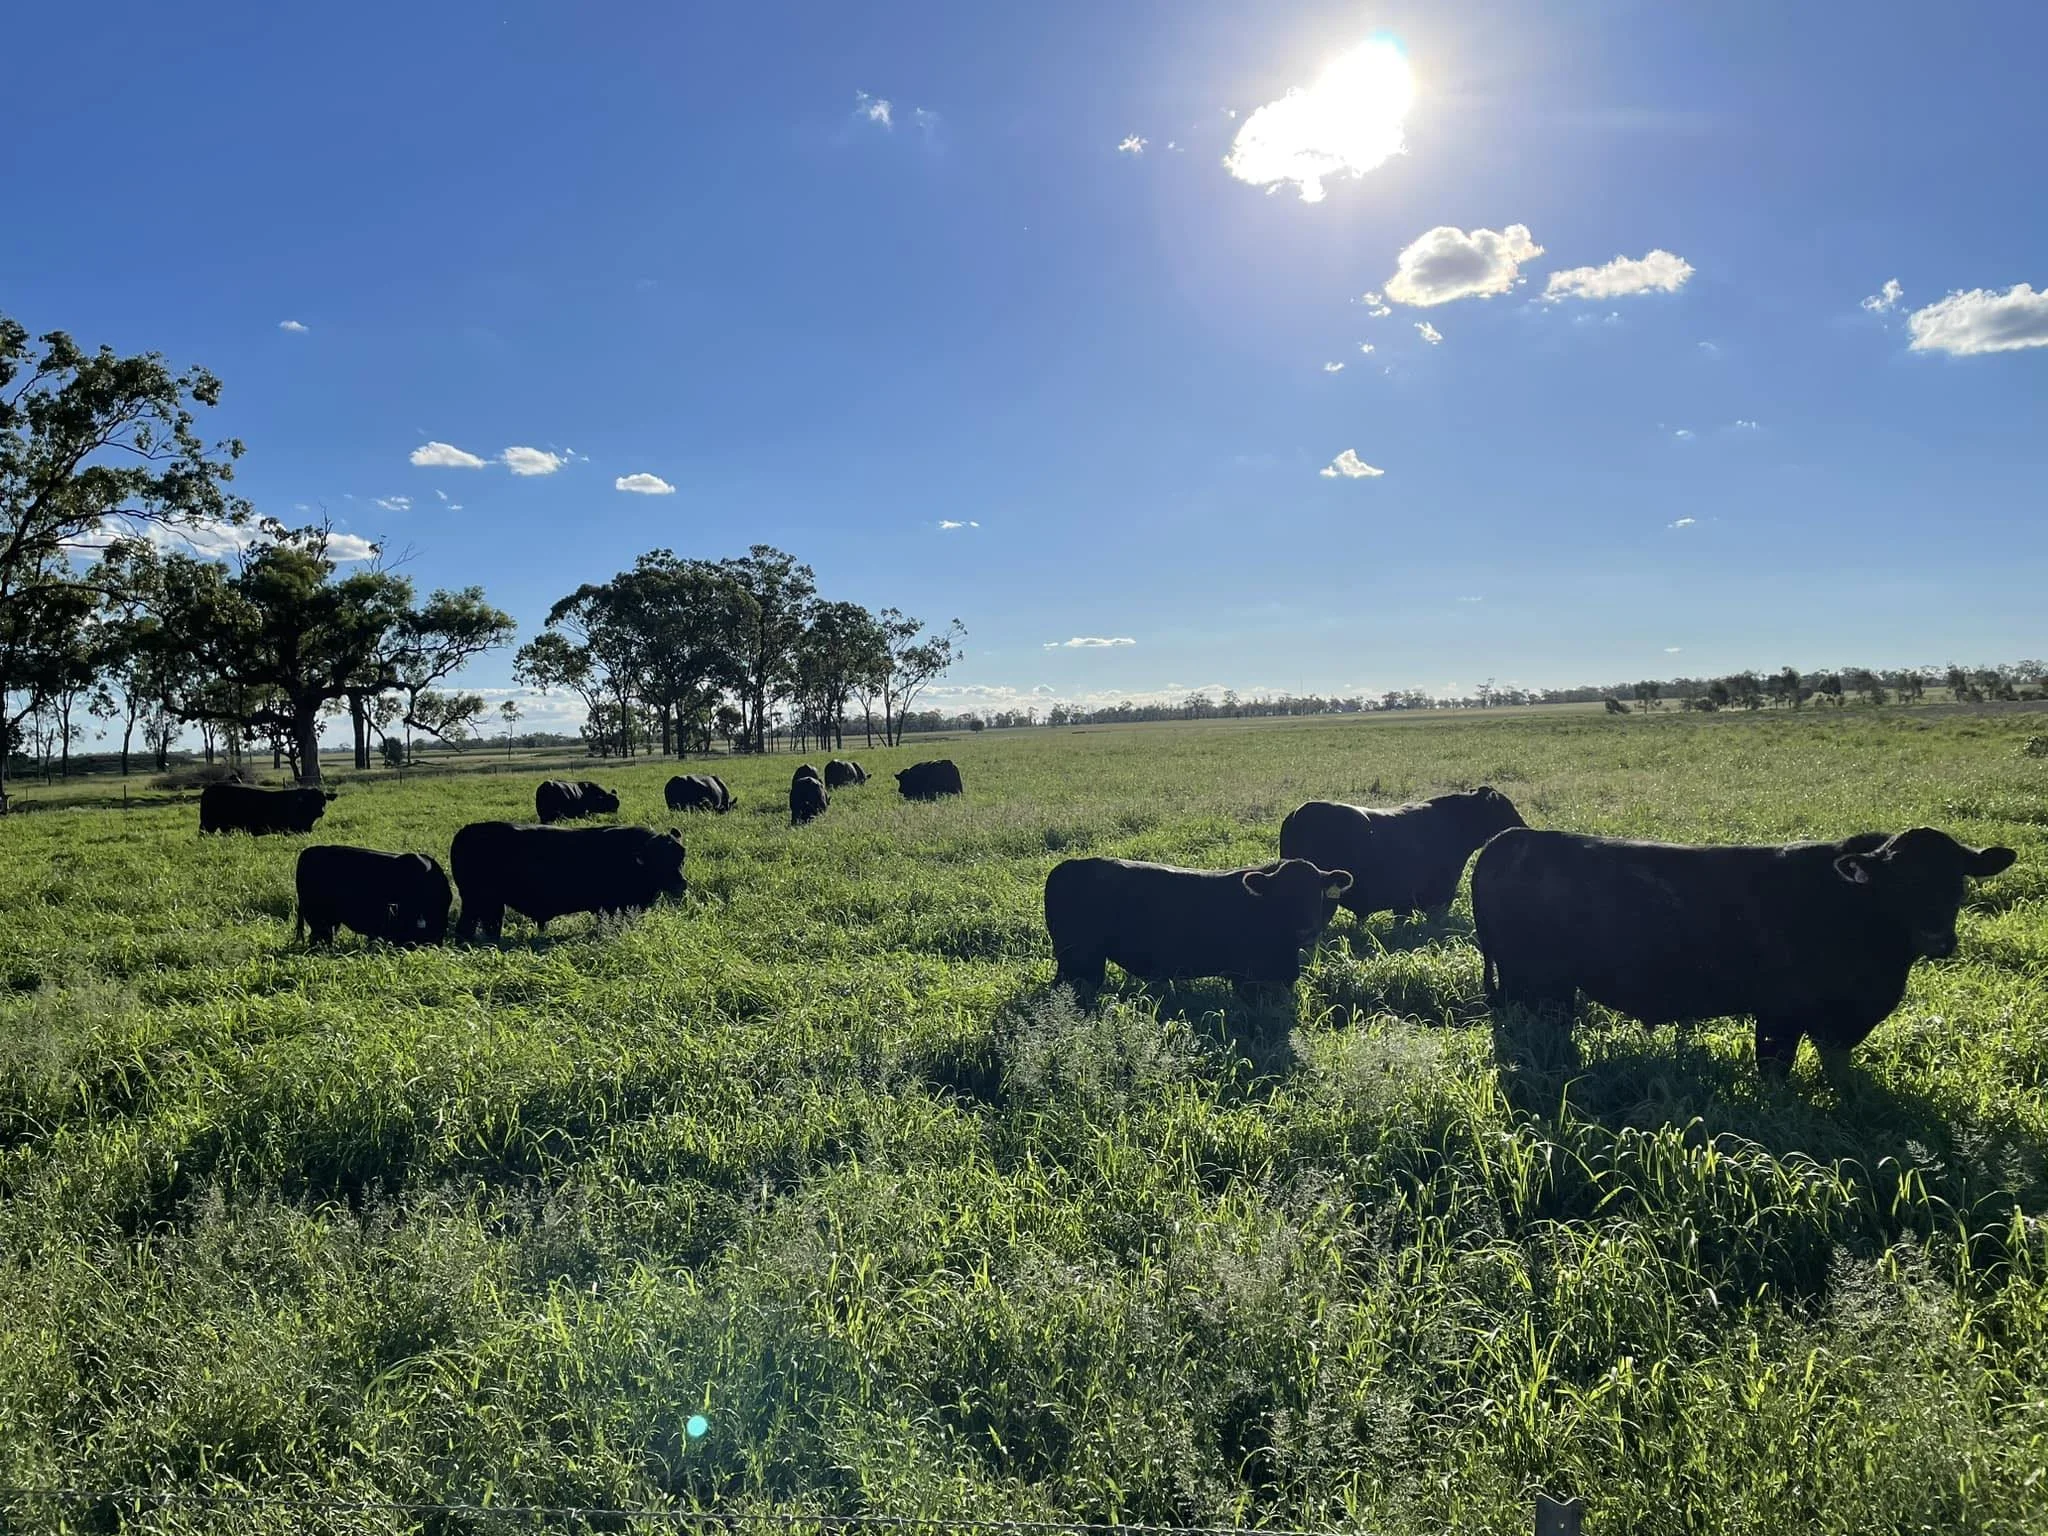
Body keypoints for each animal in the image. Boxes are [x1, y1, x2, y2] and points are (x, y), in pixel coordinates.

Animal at [199, 781, 334, 835]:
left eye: (323, 801)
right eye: (311, 801)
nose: (322, 811)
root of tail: (209, 789)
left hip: (224, 827)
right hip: (208, 824)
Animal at [450, 822, 687, 941]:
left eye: (680, 857)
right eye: (658, 861)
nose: (681, 885)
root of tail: (464, 832)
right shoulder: (611, 906)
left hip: (488, 904)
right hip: (476, 900)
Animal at [1045, 856, 1354, 997]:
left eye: (1316, 893)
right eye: (1282, 896)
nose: (1306, 931)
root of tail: (1068, 866)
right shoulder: (1248, 978)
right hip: (1079, 961)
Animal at [1471, 826, 2017, 1070]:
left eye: (1957, 881)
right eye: (1897, 883)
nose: (1937, 937)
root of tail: (1511, 837)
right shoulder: (1781, 1015)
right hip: (1533, 987)